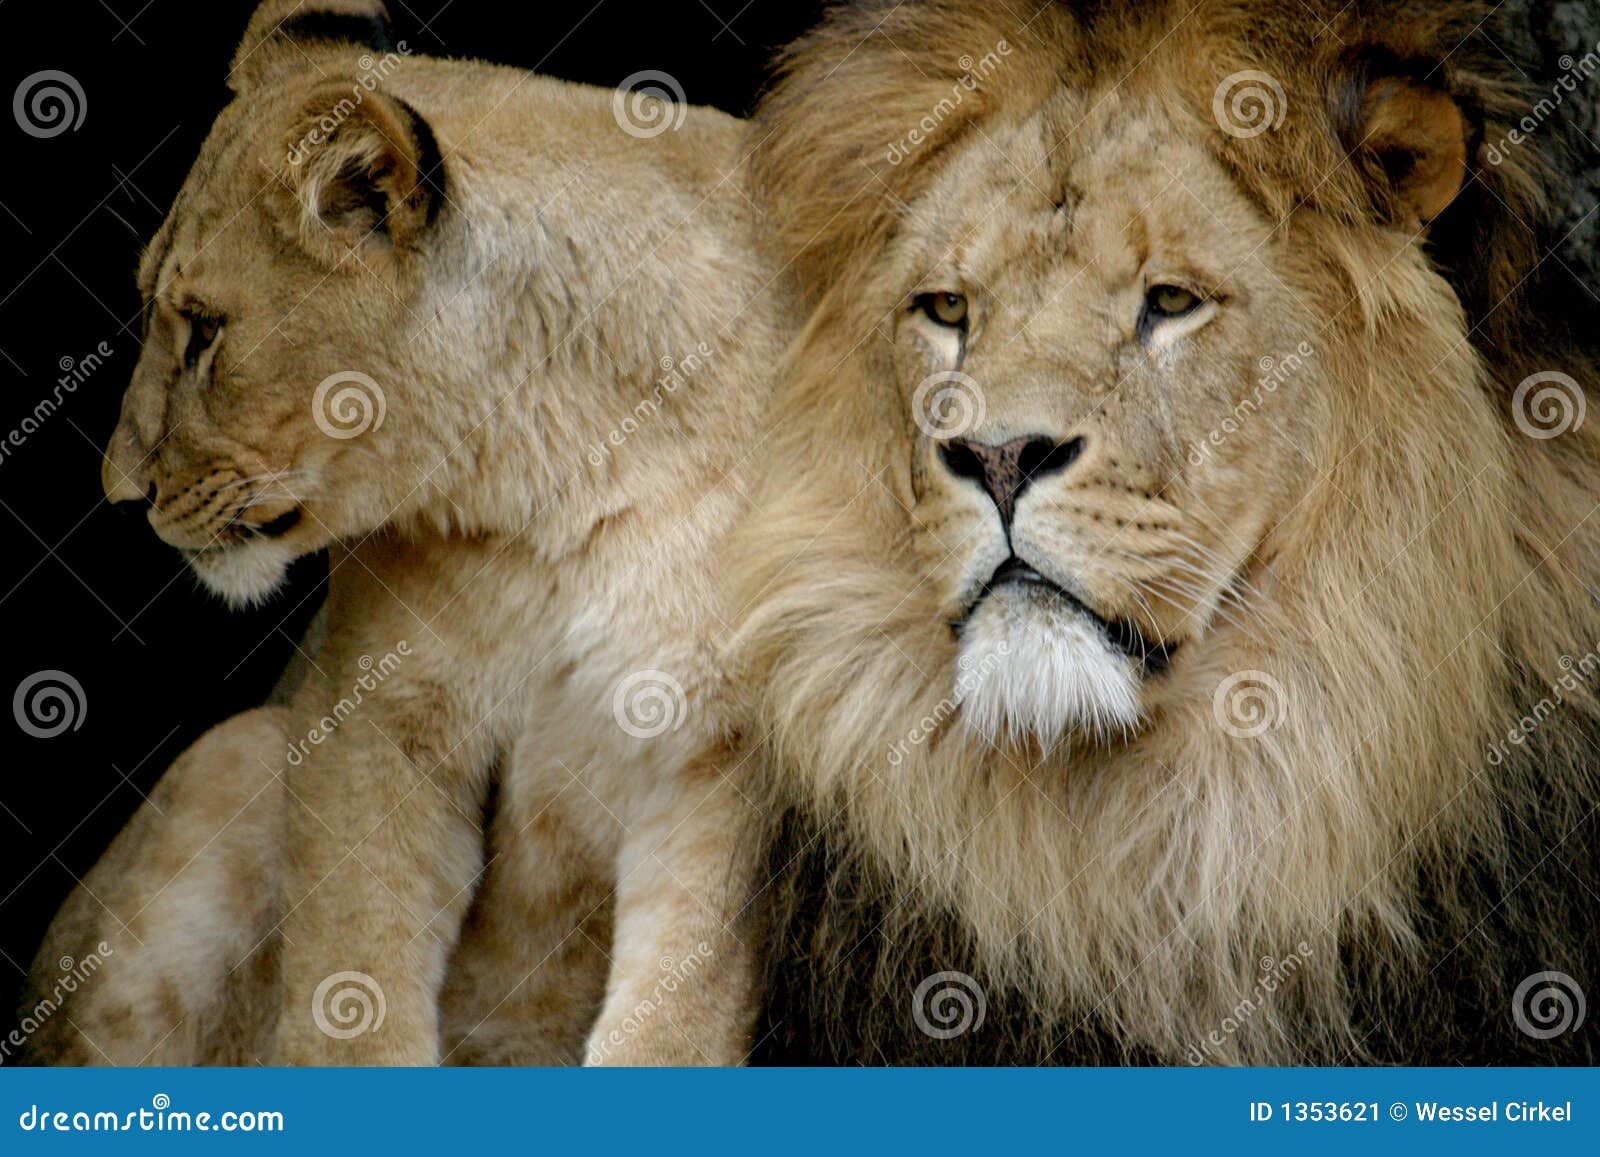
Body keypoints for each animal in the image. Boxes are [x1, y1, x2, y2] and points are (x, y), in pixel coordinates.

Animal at [20, 0, 795, 1065]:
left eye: (205, 329)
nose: (117, 492)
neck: (567, 467)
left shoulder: (717, 757)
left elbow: (676, 1009)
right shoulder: (372, 713)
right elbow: (355, 988)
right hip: (244, 748)